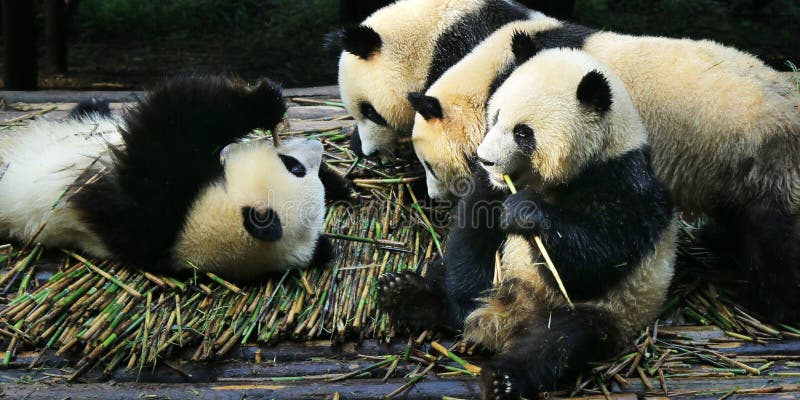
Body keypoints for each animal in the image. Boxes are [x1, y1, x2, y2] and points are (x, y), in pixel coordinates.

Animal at [0, 75, 350, 281]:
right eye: (294, 166)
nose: (317, 146)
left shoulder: (156, 203)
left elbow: (171, 119)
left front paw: (261, 101)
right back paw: (94, 103)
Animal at [380, 49, 678, 399]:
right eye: (495, 117)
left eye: (523, 132)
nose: (485, 159)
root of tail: (514, 314)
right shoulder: (490, 187)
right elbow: (472, 233)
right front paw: (463, 302)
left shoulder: (624, 182)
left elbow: (597, 260)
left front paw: (526, 213)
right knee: (444, 270)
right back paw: (405, 292)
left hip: (608, 311)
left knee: (559, 342)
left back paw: (504, 378)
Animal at [410, 18, 800, 321]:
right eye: (496, 117)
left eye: (430, 165)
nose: (431, 198)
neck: (493, 71)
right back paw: (717, 239)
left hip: (766, 160)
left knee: (775, 243)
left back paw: (770, 308)